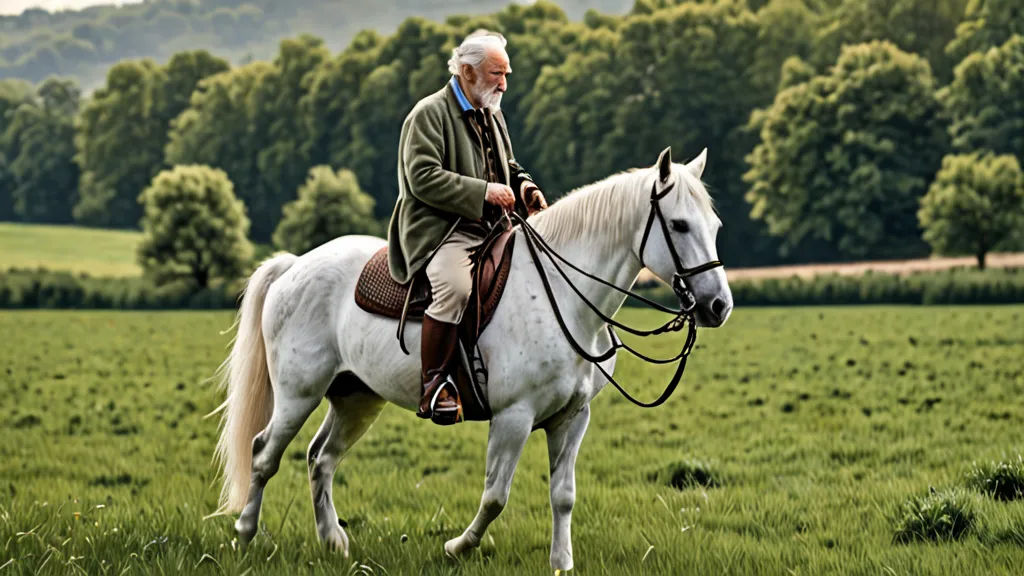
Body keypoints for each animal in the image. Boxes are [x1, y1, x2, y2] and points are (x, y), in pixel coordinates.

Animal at [212, 146, 733, 572]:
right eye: (679, 225)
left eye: (715, 227)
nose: (718, 306)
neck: (563, 295)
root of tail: (295, 265)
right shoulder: (513, 417)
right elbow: (495, 496)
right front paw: (457, 547)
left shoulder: (572, 417)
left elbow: (563, 496)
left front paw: (561, 563)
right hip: (298, 394)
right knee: (263, 454)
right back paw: (244, 535)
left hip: (356, 399)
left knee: (321, 459)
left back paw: (333, 542)